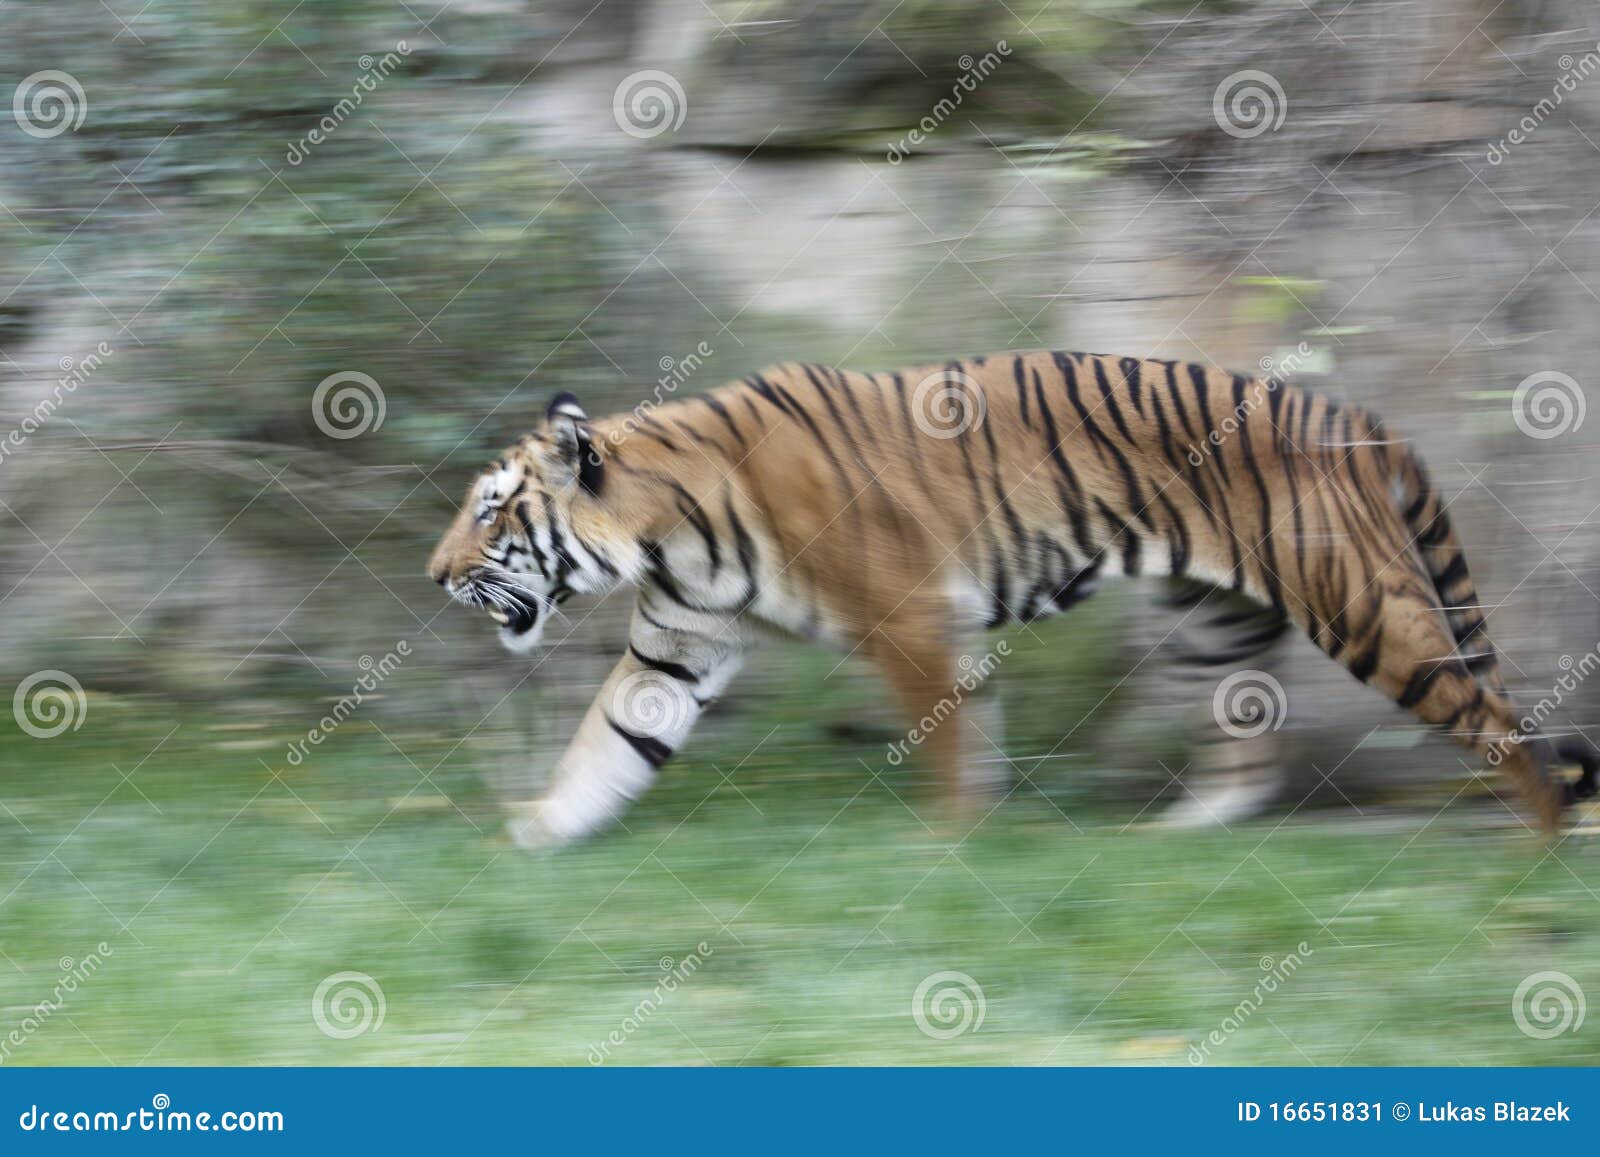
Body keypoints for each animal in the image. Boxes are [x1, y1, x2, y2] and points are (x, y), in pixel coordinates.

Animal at [426, 351, 1598, 847]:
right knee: (1250, 736)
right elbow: (606, 747)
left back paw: (1534, 857)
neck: (663, 534)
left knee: (1503, 726)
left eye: (490, 509)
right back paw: (1183, 833)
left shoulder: (907, 619)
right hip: (1207, 619)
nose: (433, 574)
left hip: (1368, 613)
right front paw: (532, 835)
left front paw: (949, 850)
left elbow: (950, 747)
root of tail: (1349, 415)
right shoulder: (680, 645)